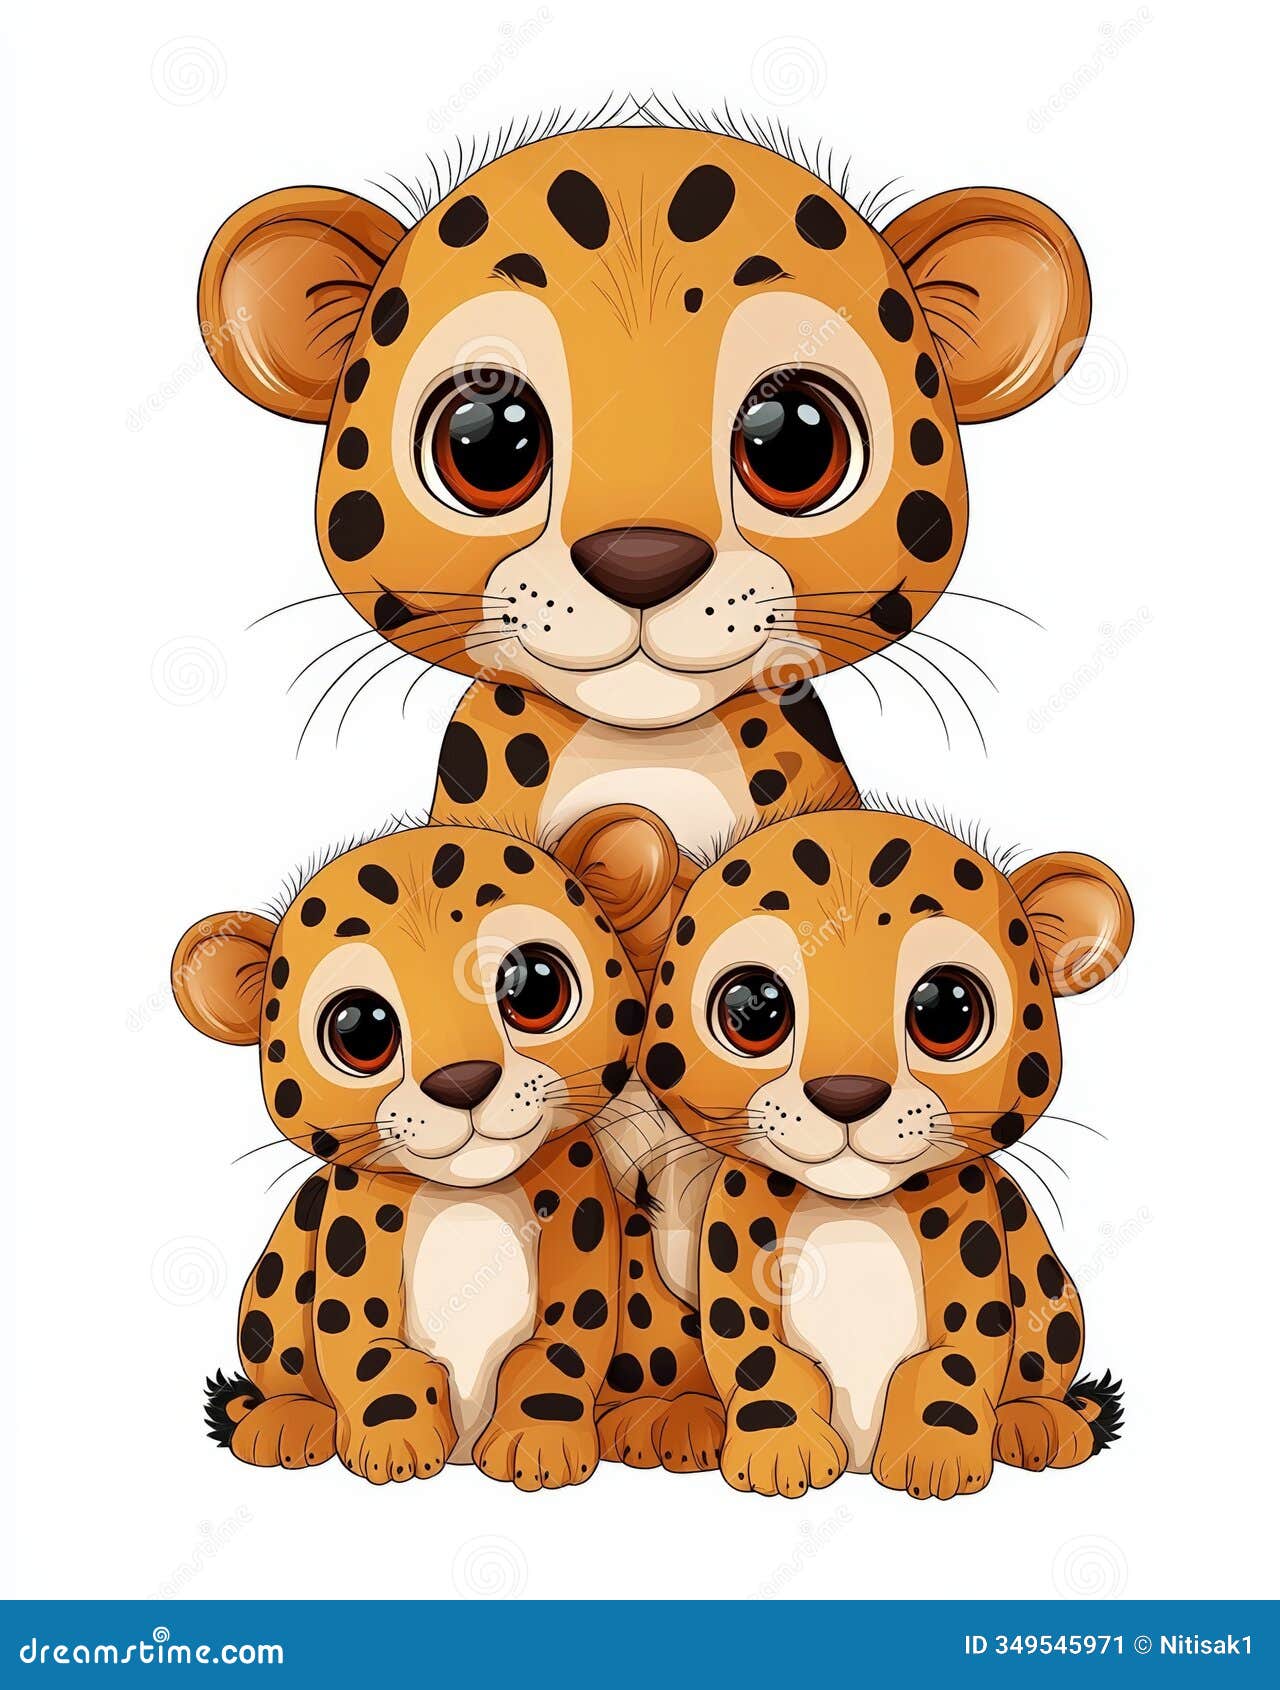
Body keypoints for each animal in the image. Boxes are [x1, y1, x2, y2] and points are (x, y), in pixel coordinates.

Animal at [173, 803, 695, 1488]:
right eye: (359, 1030)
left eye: (535, 988)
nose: (462, 1080)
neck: (468, 1198)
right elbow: (368, 1357)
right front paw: (394, 1440)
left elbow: (556, 1350)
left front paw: (538, 1440)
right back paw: (287, 1419)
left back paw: (659, 1420)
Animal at [624, 804, 1132, 1498]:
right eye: (752, 1006)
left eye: (947, 1010)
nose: (846, 1093)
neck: (851, 1211)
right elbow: (759, 1354)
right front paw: (781, 1449)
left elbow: (957, 1360)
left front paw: (937, 1453)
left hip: (1051, 1296)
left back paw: (1037, 1421)